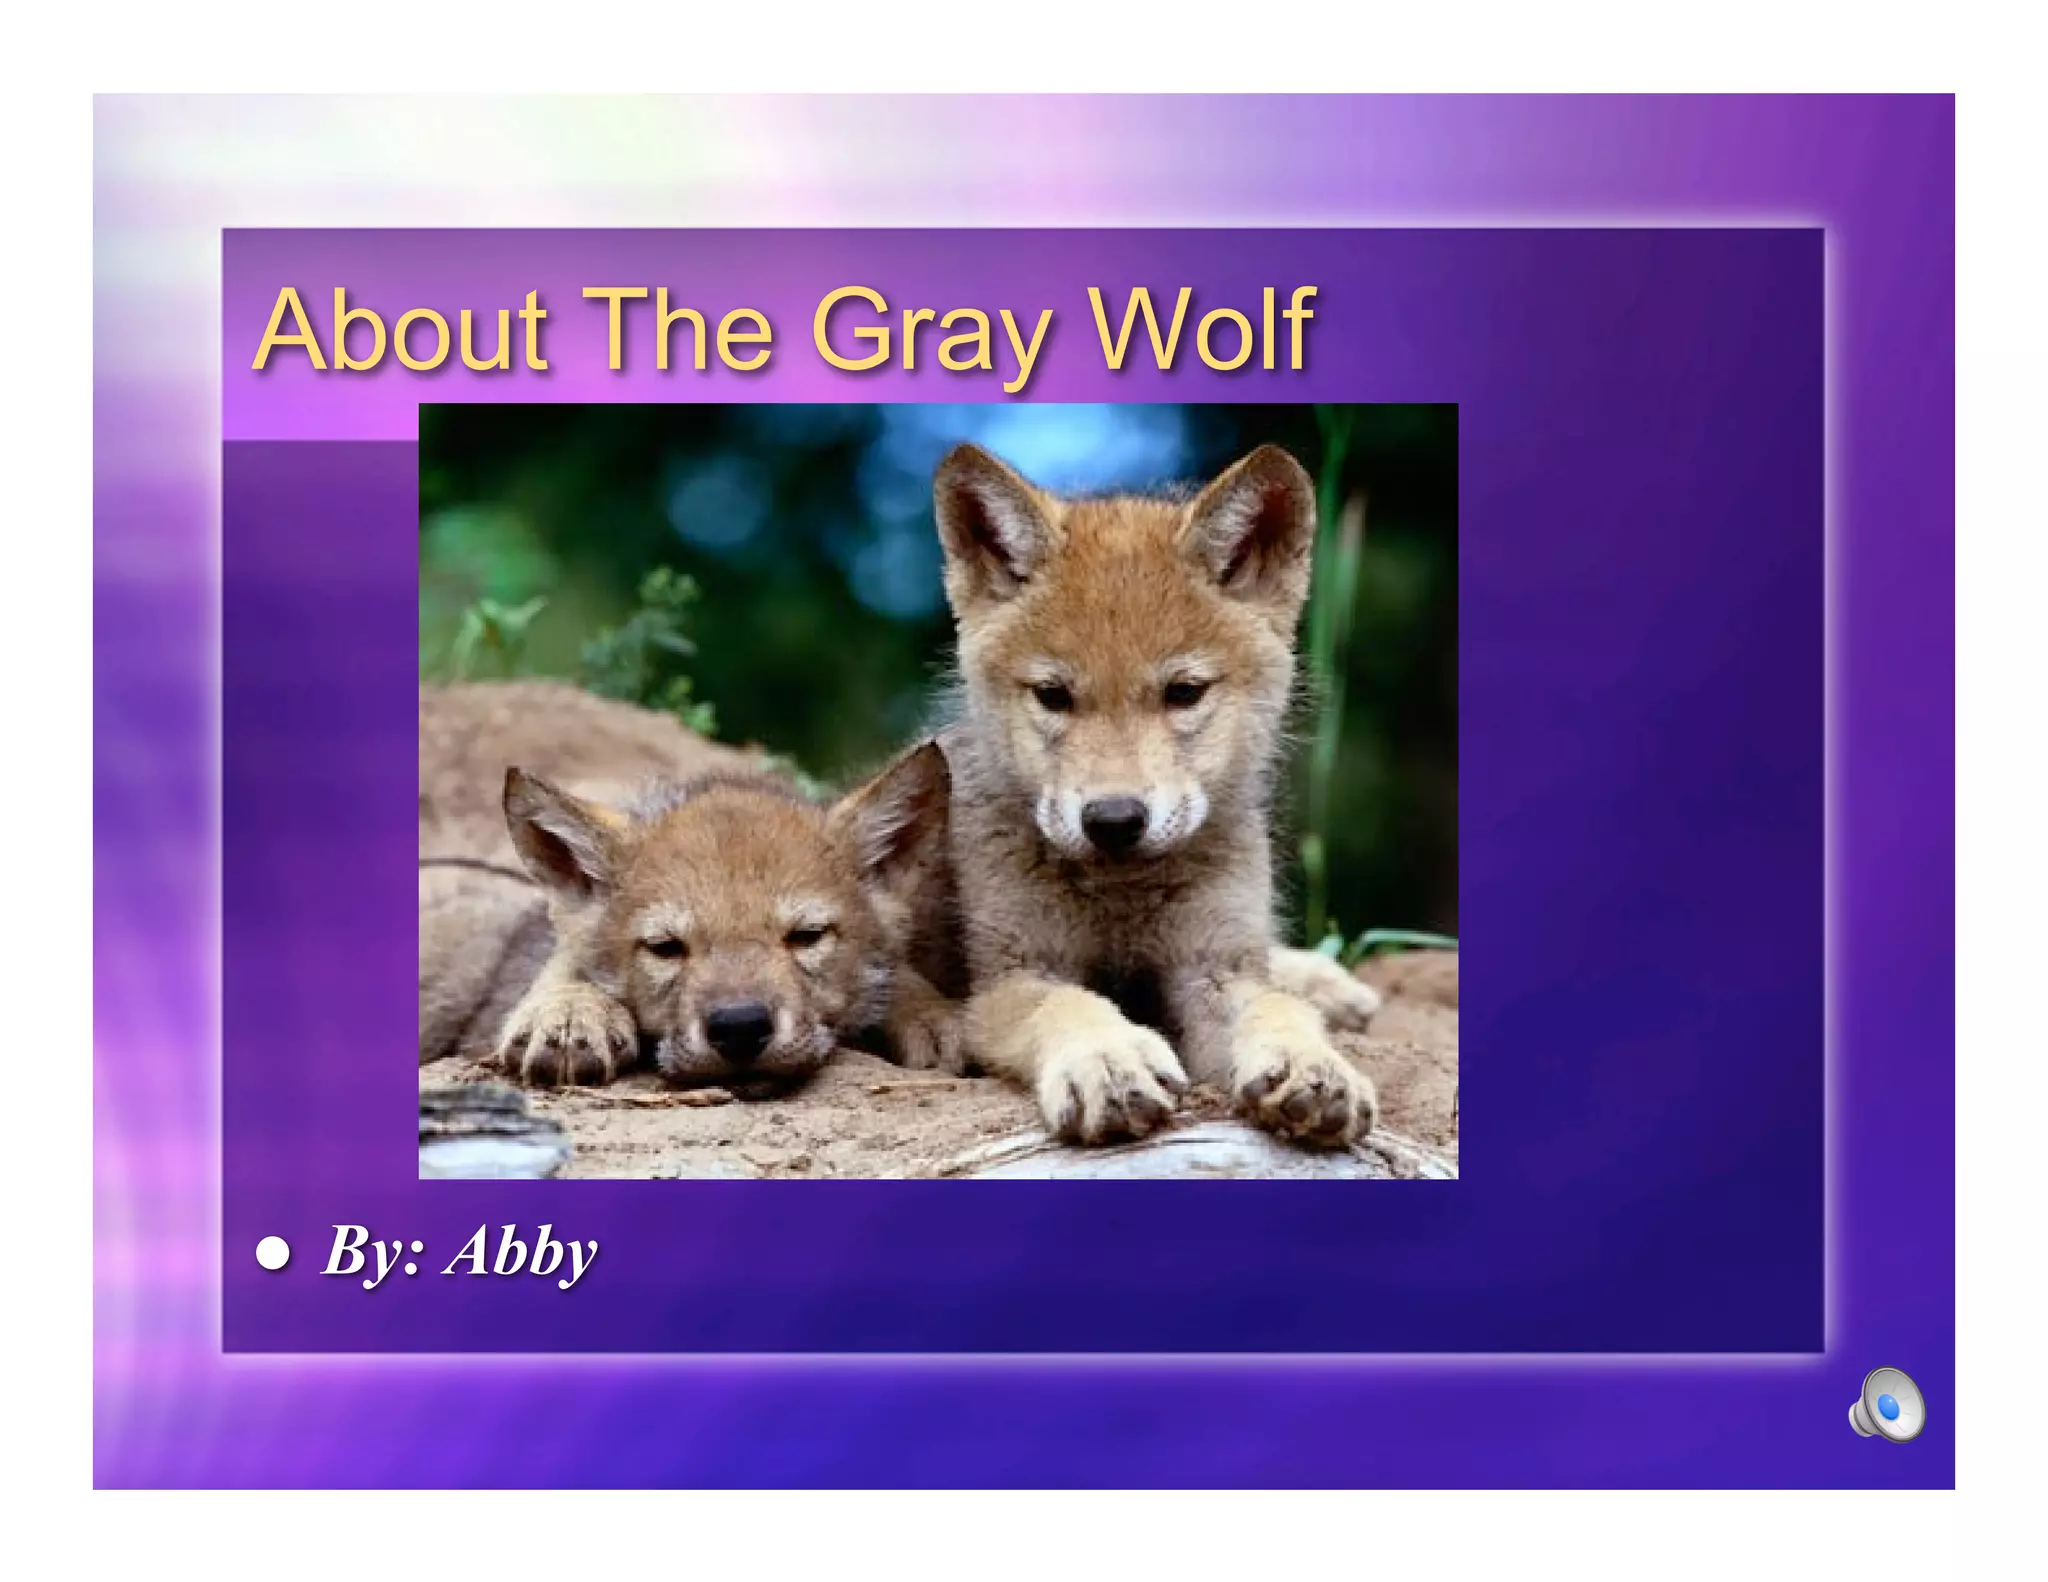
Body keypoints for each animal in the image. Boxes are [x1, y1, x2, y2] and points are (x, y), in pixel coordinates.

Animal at [931, 441, 1381, 1147]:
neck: (1122, 899)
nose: (1114, 820)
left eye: (1184, 692)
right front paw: (1108, 1062)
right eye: (1053, 696)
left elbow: (1275, 1007)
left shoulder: (1213, 967)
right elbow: (1069, 1004)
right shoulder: (1013, 974)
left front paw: (1313, 1065)